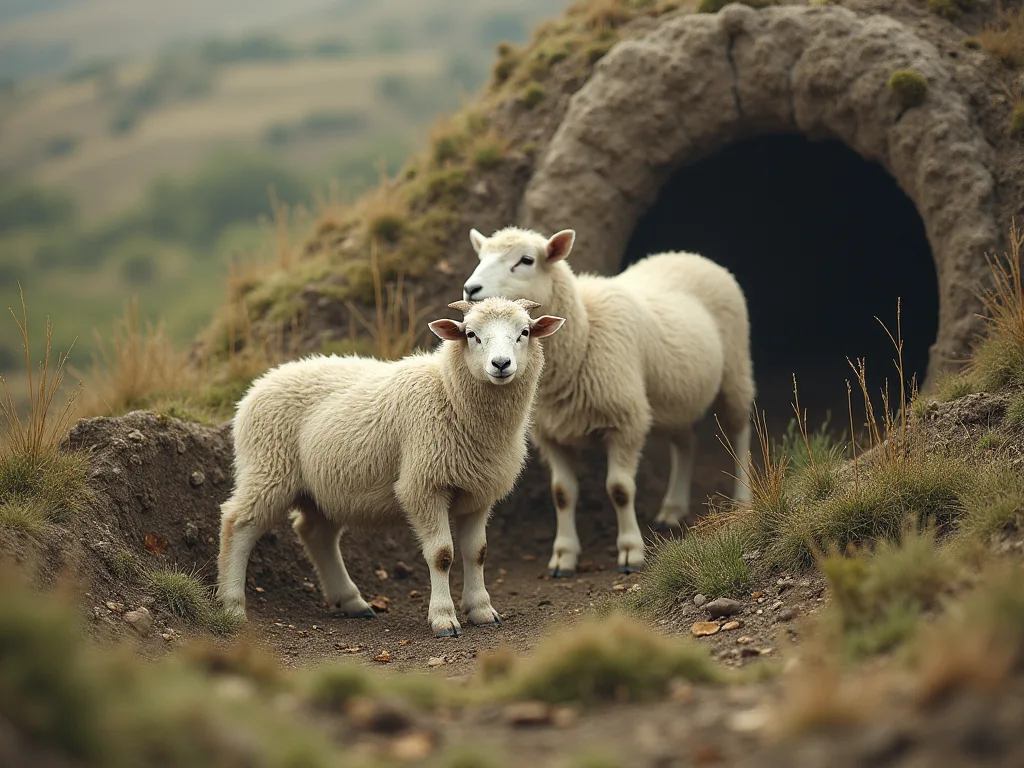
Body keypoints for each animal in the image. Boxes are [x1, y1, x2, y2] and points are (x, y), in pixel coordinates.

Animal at [216, 296, 566, 637]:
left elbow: (477, 552)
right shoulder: (423, 486)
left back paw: (351, 601)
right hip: (267, 467)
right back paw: (232, 607)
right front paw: (444, 619)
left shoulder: (479, 491)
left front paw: (482, 611)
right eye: (471, 334)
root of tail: (258, 385)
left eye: (524, 332)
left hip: (323, 487)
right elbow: (442, 555)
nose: (501, 364)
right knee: (238, 522)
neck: (448, 392)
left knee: (316, 533)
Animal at [460, 226, 755, 576]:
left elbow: (620, 489)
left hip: (735, 369)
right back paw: (673, 507)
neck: (583, 335)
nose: (470, 289)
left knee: (740, 430)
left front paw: (630, 551)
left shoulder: (626, 421)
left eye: (526, 260)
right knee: (686, 443)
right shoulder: (551, 433)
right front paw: (564, 555)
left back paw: (743, 499)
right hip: (675, 397)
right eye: (480, 256)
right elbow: (562, 494)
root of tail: (688, 254)